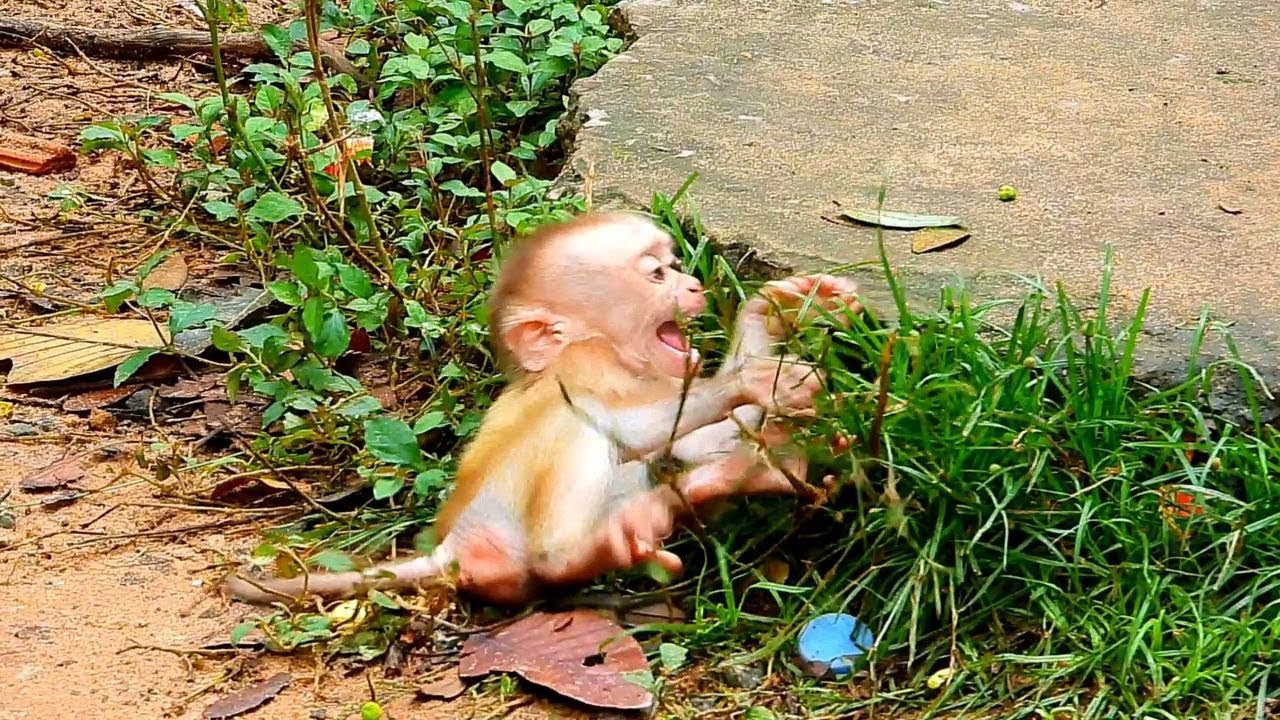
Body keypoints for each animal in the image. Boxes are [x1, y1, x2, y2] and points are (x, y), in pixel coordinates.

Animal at [225, 211, 858, 606]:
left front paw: (769, 313)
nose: (694, 286)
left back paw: (734, 479)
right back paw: (575, 555)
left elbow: (690, 440)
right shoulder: (585, 366)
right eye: (657, 274)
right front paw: (755, 380)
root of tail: (452, 550)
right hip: (506, 522)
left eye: (676, 266)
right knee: (579, 431)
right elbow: (630, 424)